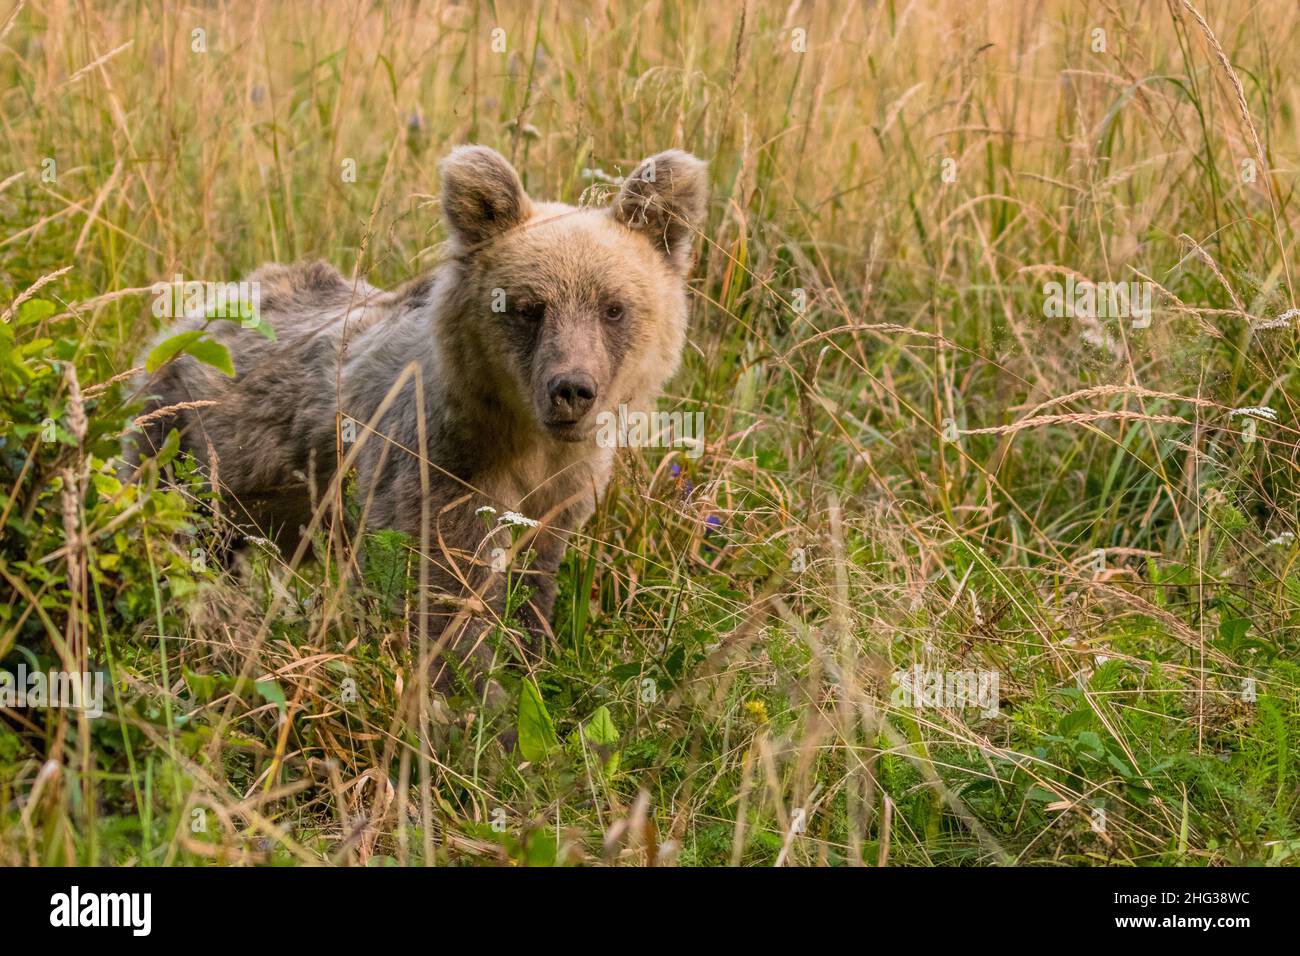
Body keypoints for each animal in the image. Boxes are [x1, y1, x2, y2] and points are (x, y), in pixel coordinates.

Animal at [131, 144, 709, 696]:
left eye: (613, 307)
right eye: (528, 307)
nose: (571, 389)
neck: (525, 438)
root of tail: (201, 308)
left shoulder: (561, 491)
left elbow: (532, 581)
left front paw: (529, 663)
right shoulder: (441, 465)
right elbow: (443, 590)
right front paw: (472, 694)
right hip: (184, 444)